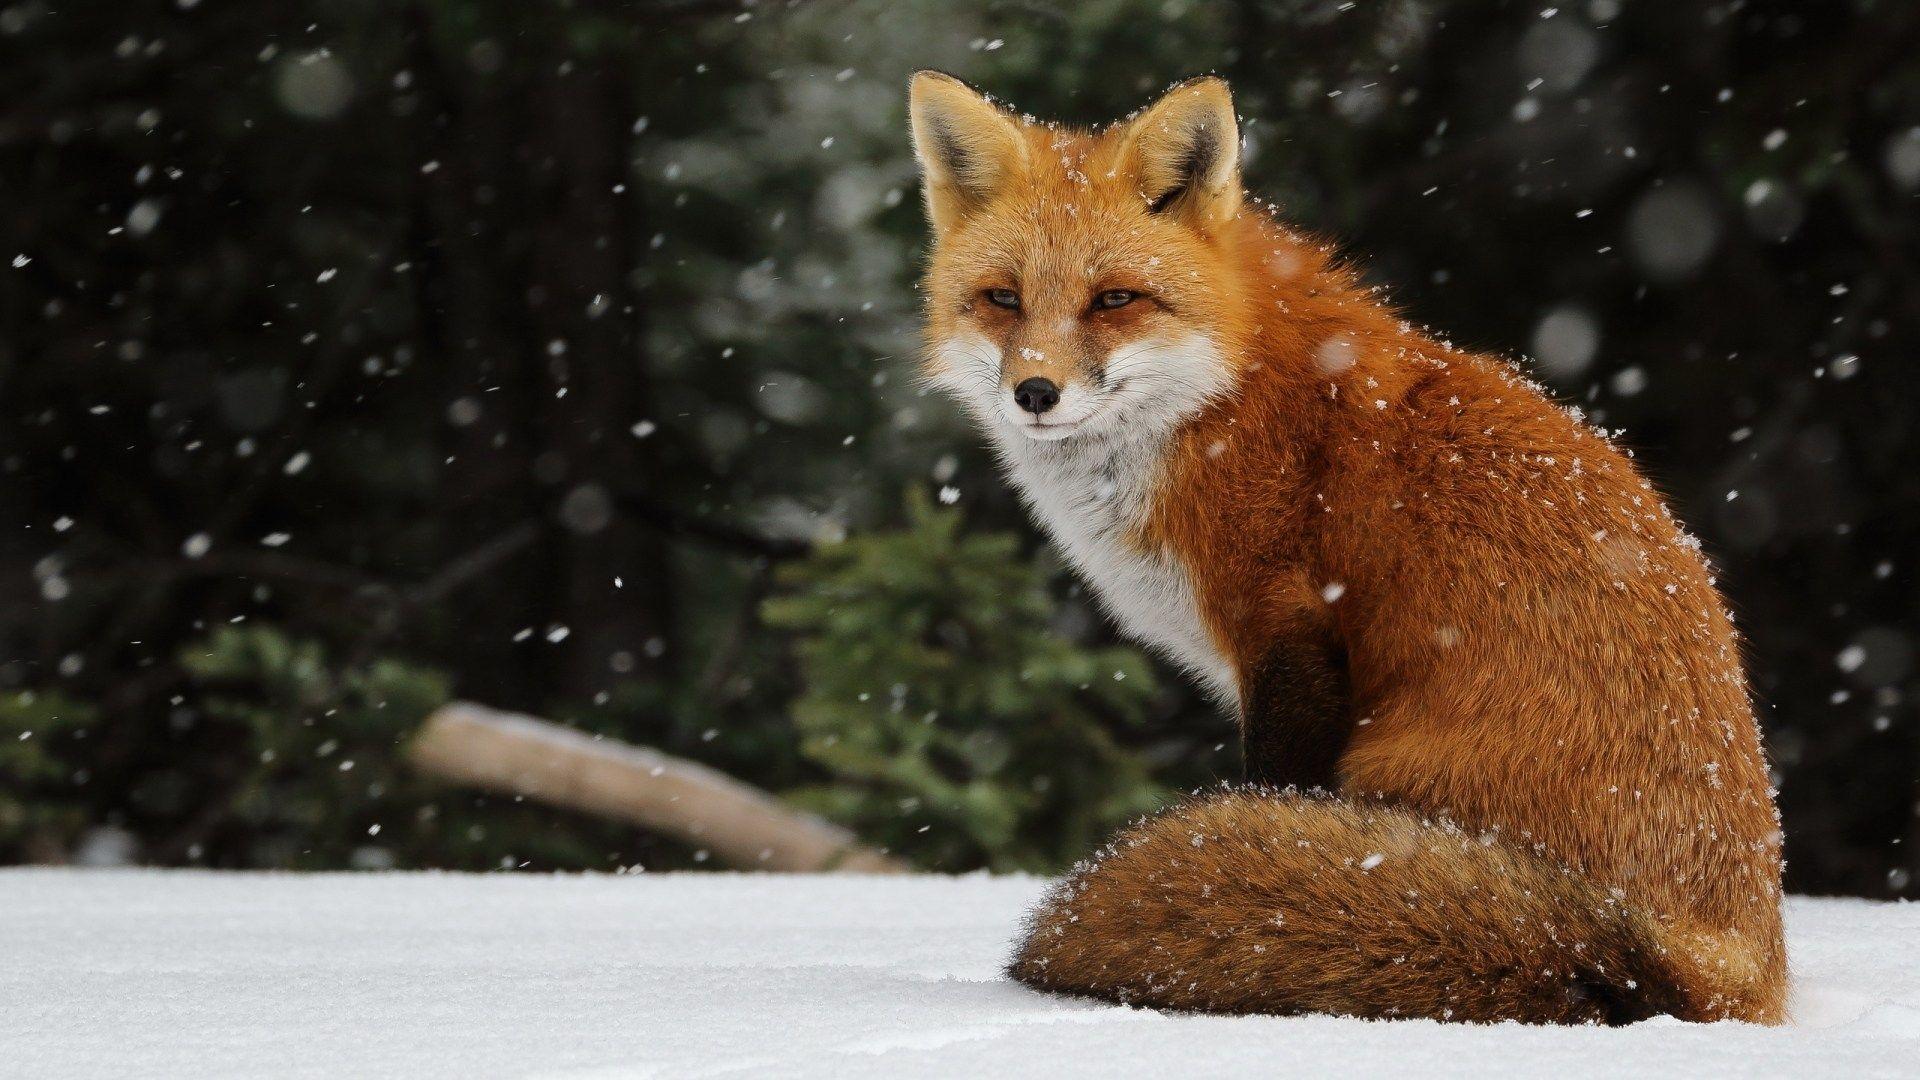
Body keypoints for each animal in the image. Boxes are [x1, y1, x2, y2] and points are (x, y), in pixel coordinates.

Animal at [906, 71, 1787, 1025]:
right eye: (1003, 298)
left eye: (1114, 299)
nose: (1035, 393)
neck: (1219, 401)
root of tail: (1716, 964)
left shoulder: (1286, 631)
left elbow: (1273, 785)